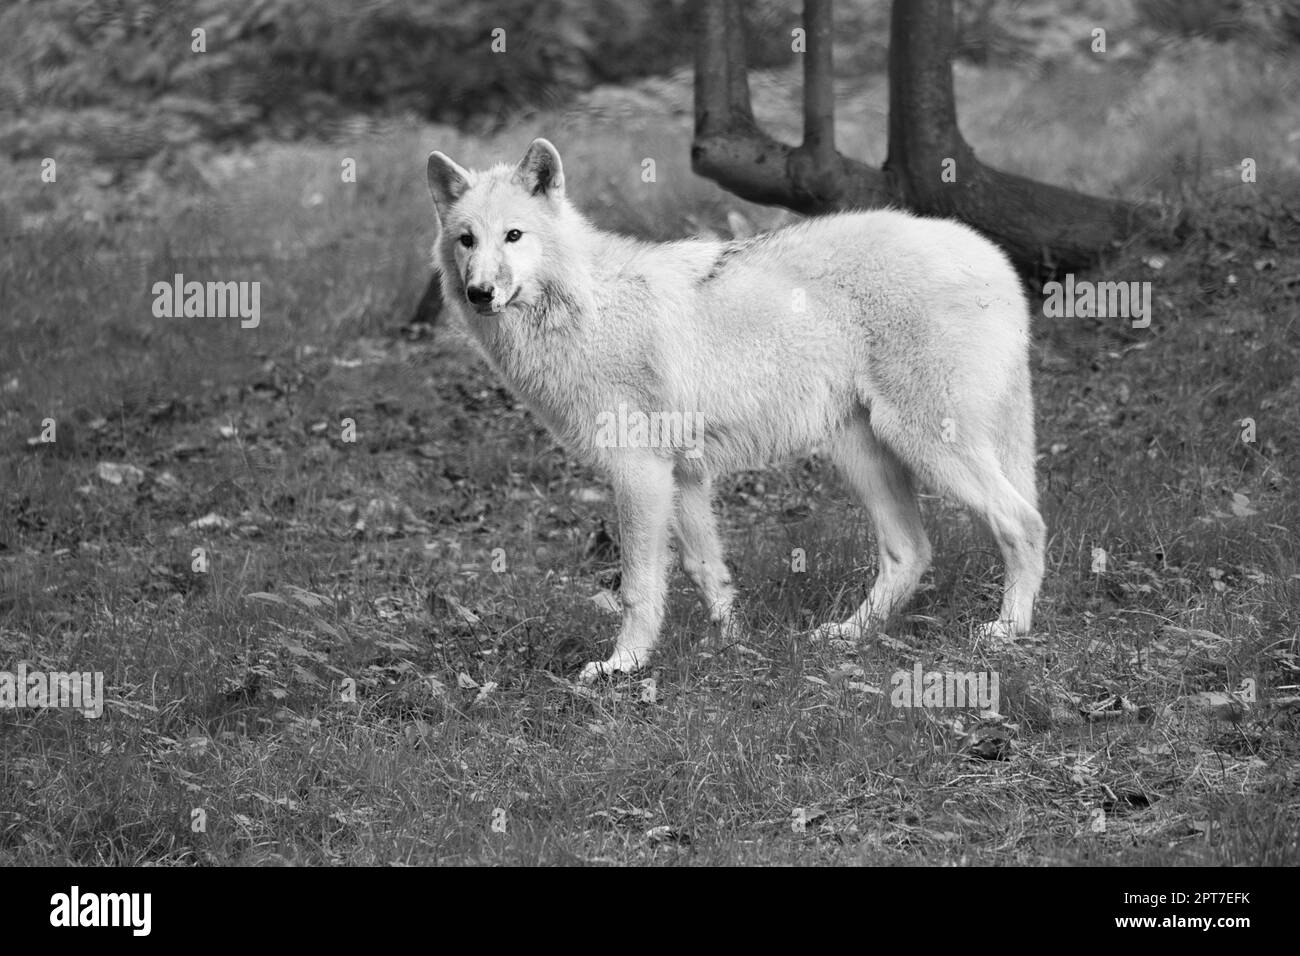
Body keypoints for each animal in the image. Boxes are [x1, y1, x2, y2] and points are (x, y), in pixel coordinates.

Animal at [425, 138, 1046, 683]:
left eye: (514, 235)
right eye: (466, 240)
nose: (480, 292)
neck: (587, 309)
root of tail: (992, 255)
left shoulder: (640, 475)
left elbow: (638, 588)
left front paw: (624, 665)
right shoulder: (685, 477)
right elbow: (707, 572)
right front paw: (732, 646)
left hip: (926, 445)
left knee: (1025, 522)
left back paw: (1007, 631)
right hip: (860, 454)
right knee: (911, 552)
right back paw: (848, 634)